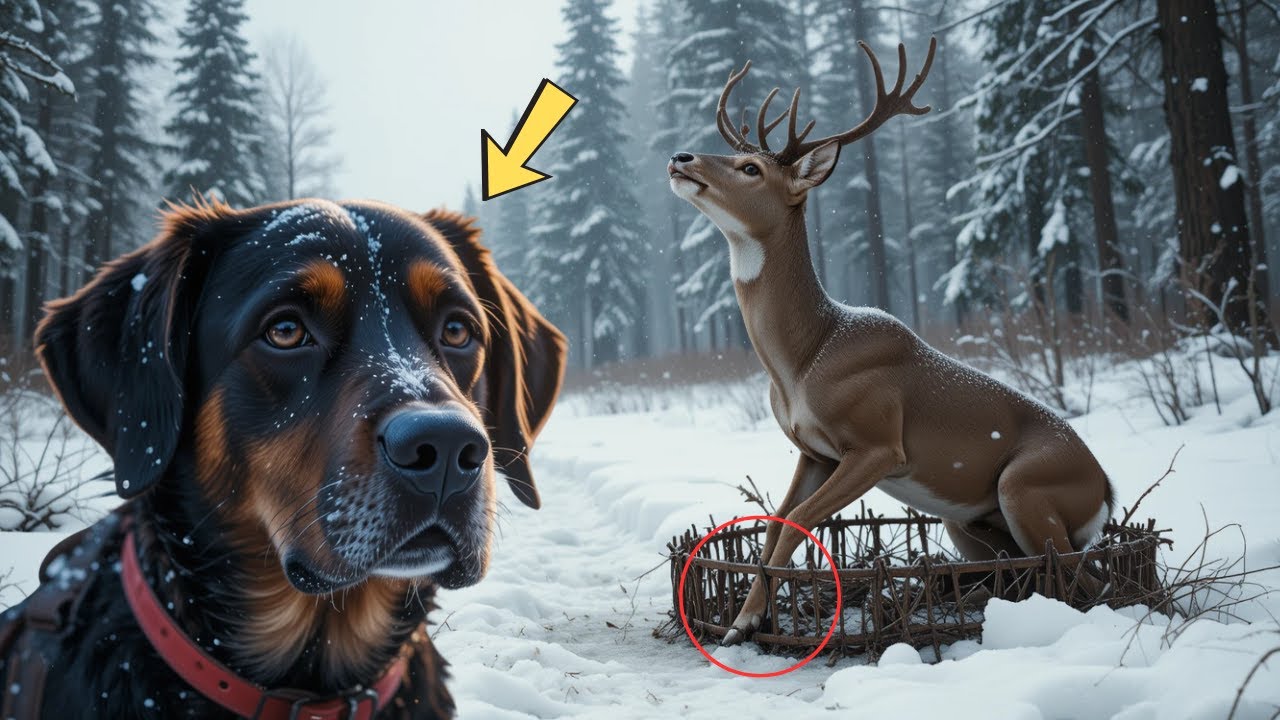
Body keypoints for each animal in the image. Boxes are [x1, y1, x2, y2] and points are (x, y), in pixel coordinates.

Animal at [667, 38, 1115, 646]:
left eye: (751, 167)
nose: (681, 157)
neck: (802, 360)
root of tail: (1108, 492)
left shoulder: (878, 441)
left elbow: (795, 525)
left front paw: (742, 622)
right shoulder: (814, 450)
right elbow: (777, 525)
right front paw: (750, 617)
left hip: (1027, 487)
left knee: (1086, 578)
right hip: (968, 520)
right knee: (1025, 573)